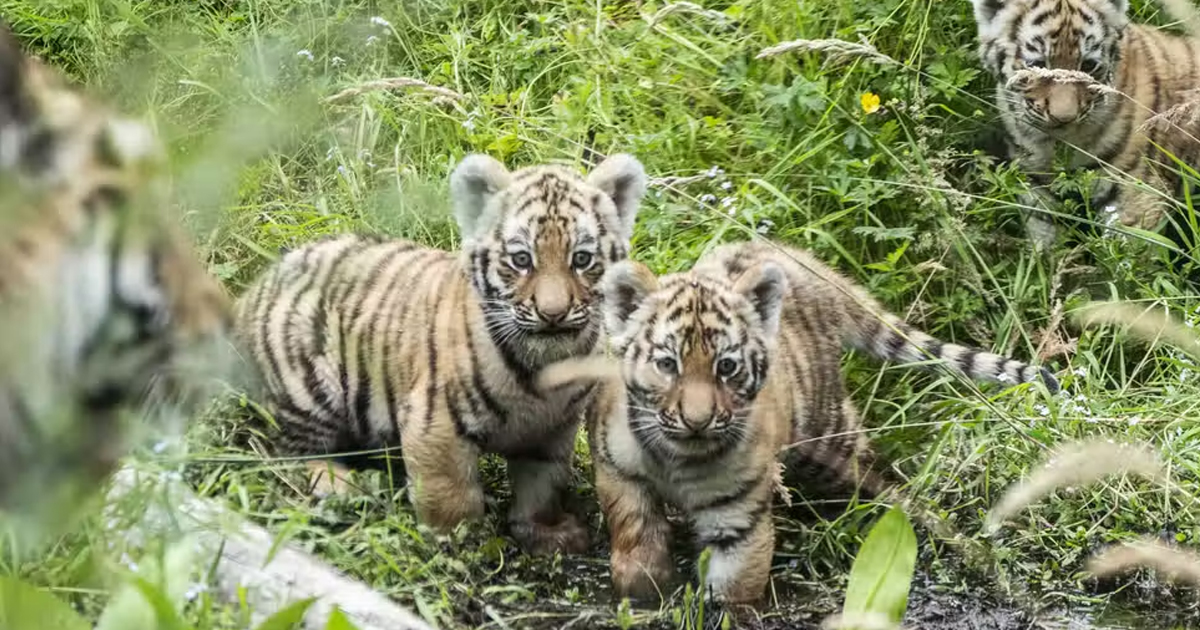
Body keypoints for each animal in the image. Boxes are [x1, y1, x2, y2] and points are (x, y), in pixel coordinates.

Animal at [234, 153, 647, 554]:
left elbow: (542, 485)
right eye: (521, 259)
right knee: (286, 453)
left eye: (582, 259)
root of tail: (251, 291)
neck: (547, 369)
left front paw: (546, 533)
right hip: (309, 385)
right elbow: (451, 493)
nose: (553, 314)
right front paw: (460, 544)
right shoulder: (437, 421)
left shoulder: (554, 429)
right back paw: (338, 484)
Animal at [589, 240, 1059, 603]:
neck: (678, 456)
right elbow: (634, 534)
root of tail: (805, 262)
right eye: (668, 364)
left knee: (882, 474)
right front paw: (643, 588)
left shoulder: (740, 520)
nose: (697, 421)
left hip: (830, 438)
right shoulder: (618, 471)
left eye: (727, 366)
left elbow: (733, 590)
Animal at [972, 0, 1200, 251]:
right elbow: (1046, 245)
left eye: (1089, 65)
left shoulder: (1138, 193)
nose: (1064, 117)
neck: (1053, 145)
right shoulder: (1036, 189)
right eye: (1037, 65)